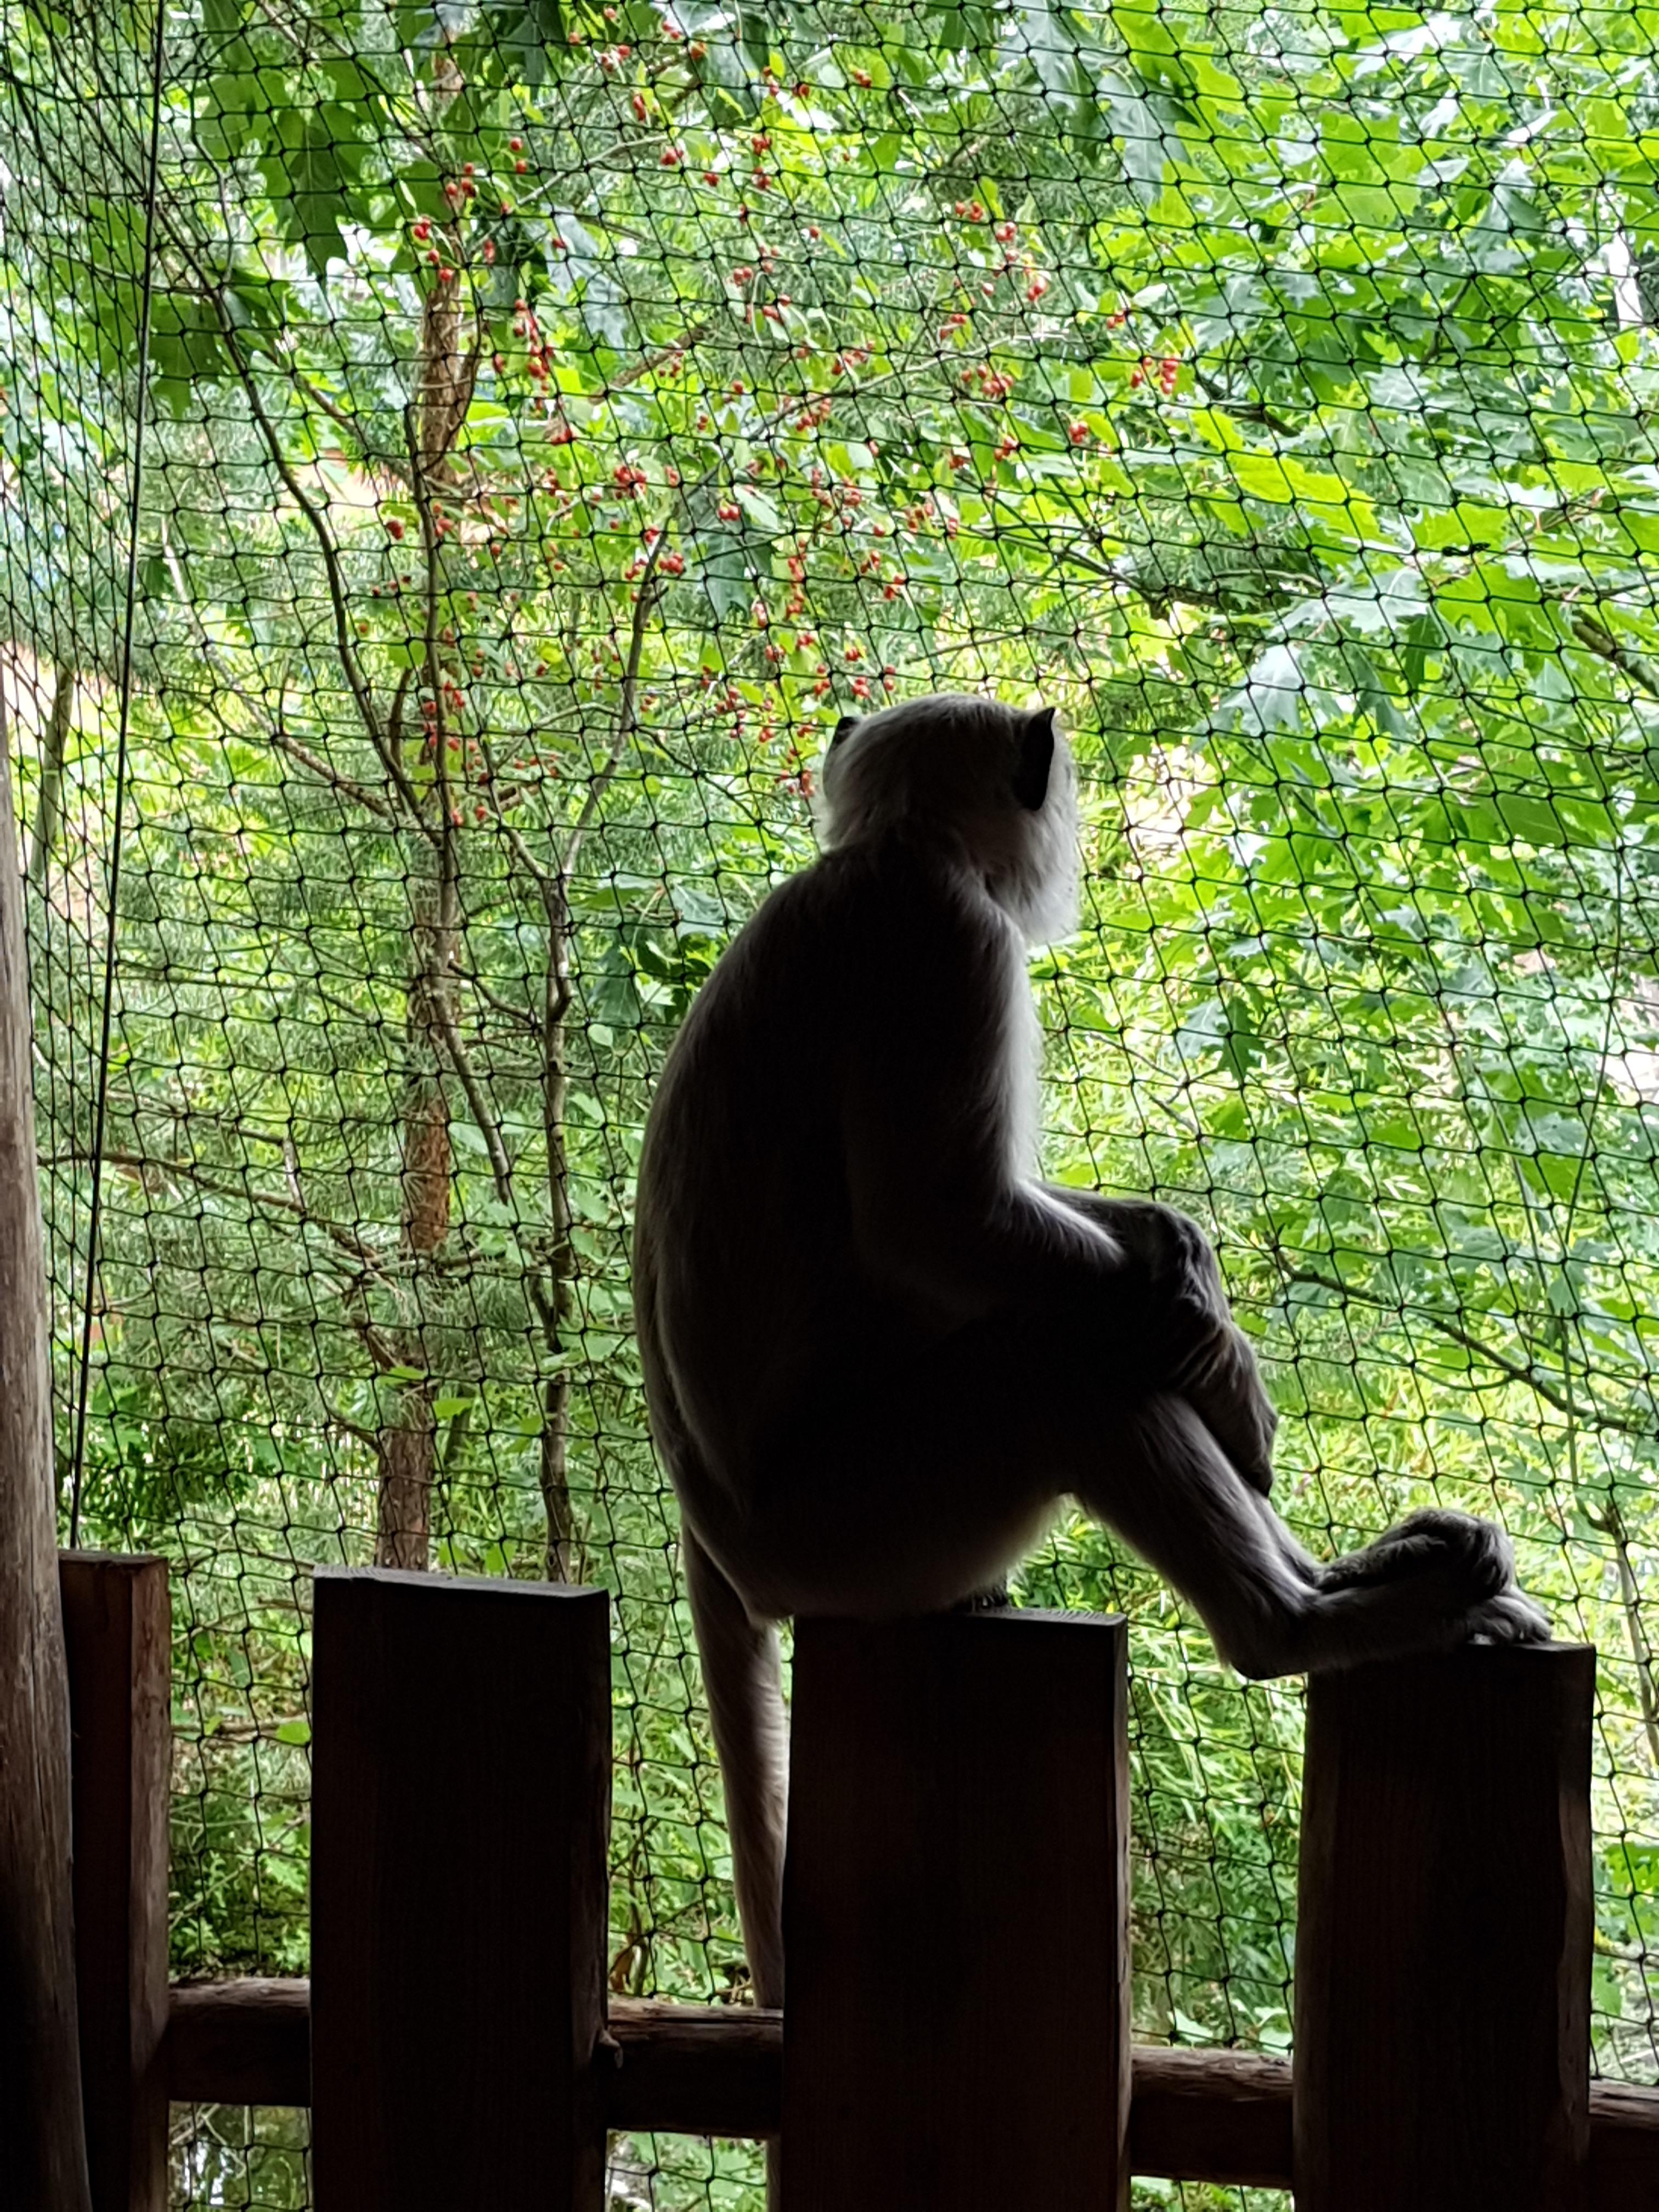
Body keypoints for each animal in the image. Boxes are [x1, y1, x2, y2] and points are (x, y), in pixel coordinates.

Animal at [632, 692, 1549, 2018]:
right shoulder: (951, 944)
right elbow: (942, 1223)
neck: (893, 848)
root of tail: (717, 1534)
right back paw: (1292, 1625)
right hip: (865, 1523)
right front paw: (1222, 1355)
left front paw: (1184, 1261)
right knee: (1061, 1366)